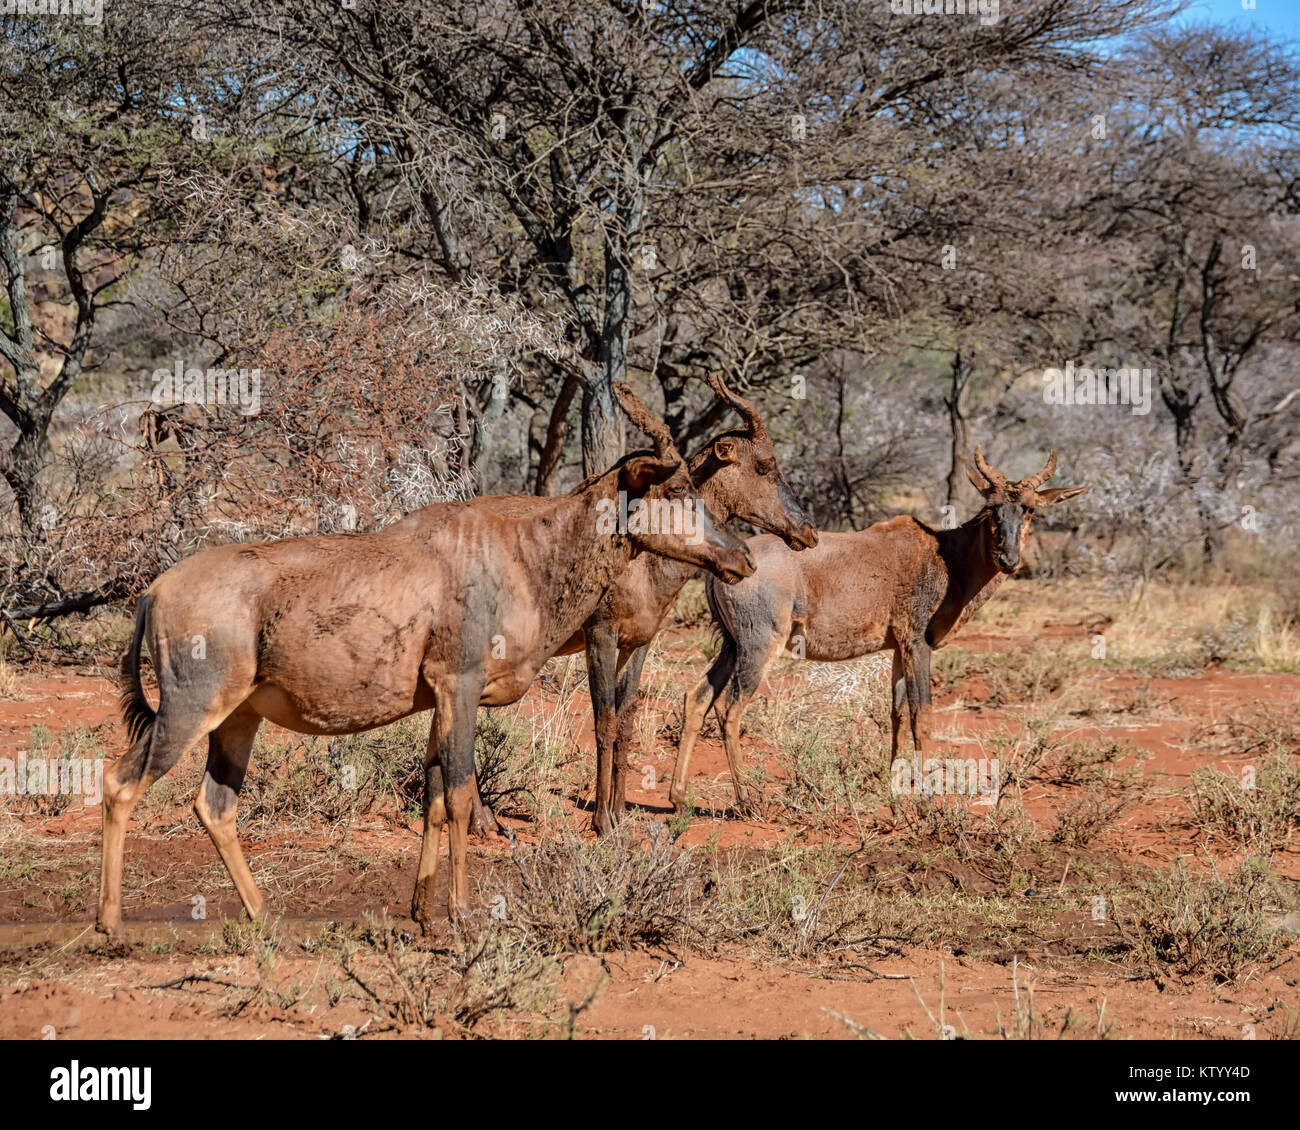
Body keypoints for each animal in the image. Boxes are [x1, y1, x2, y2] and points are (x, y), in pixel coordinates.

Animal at [97, 385, 755, 939]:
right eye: (675, 489)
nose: (742, 558)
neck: (515, 552)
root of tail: (154, 591)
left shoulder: (438, 700)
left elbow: (435, 795)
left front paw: (422, 912)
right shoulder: (458, 686)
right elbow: (461, 794)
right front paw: (461, 914)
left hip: (237, 719)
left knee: (215, 804)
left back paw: (266, 917)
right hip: (189, 709)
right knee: (120, 782)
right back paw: (113, 927)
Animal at [469, 373, 817, 835]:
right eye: (764, 464)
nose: (808, 531)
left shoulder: (639, 642)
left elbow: (627, 720)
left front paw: (618, 813)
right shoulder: (601, 635)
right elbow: (604, 720)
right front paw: (601, 821)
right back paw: (482, 820)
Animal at [669, 446, 1086, 814]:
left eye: (1029, 508)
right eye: (991, 507)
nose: (1008, 559)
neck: (943, 553)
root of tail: (725, 567)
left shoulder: (899, 648)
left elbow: (897, 715)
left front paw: (895, 788)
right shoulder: (918, 643)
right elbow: (922, 716)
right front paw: (924, 799)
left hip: (731, 645)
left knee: (697, 697)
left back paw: (678, 798)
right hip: (759, 644)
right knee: (730, 708)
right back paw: (748, 802)